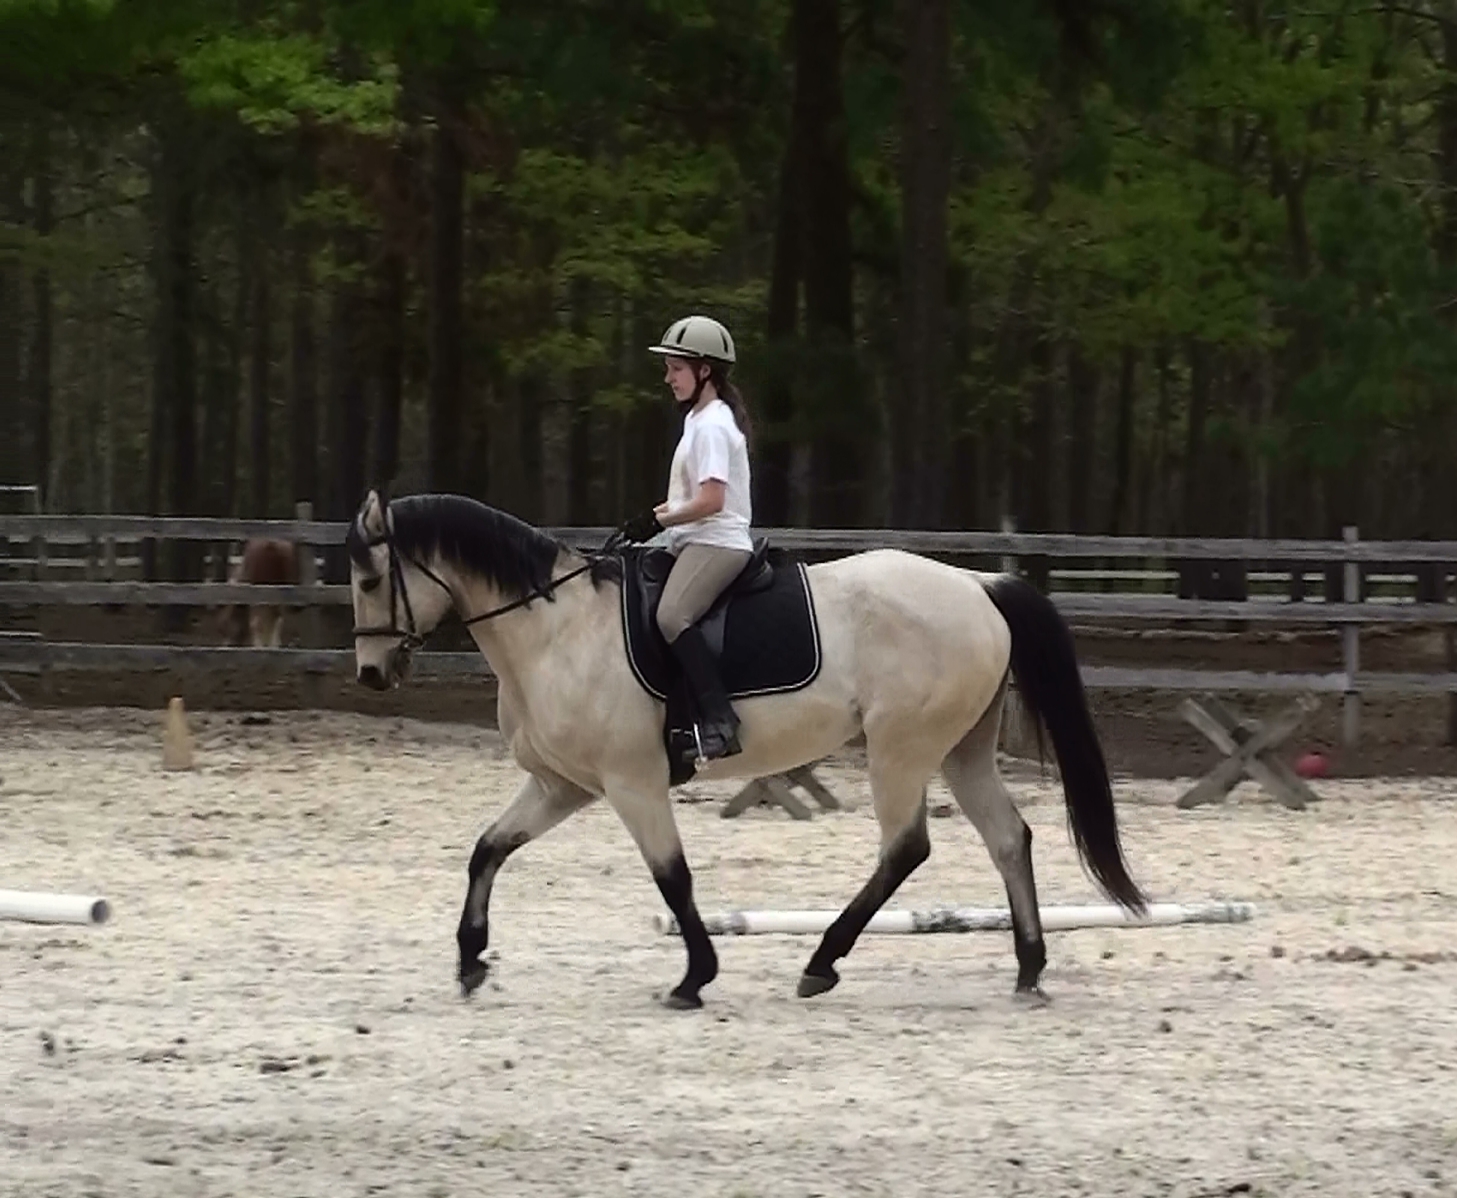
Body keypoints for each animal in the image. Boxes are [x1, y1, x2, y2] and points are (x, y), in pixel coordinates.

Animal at [345, 488, 1148, 1011]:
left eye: (372, 577)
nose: (372, 673)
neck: (557, 629)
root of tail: (979, 585)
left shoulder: (631, 782)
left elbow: (672, 878)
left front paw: (693, 977)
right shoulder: (562, 784)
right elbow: (488, 849)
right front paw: (469, 958)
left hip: (900, 748)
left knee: (906, 848)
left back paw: (822, 963)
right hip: (960, 749)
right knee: (1007, 837)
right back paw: (1028, 968)